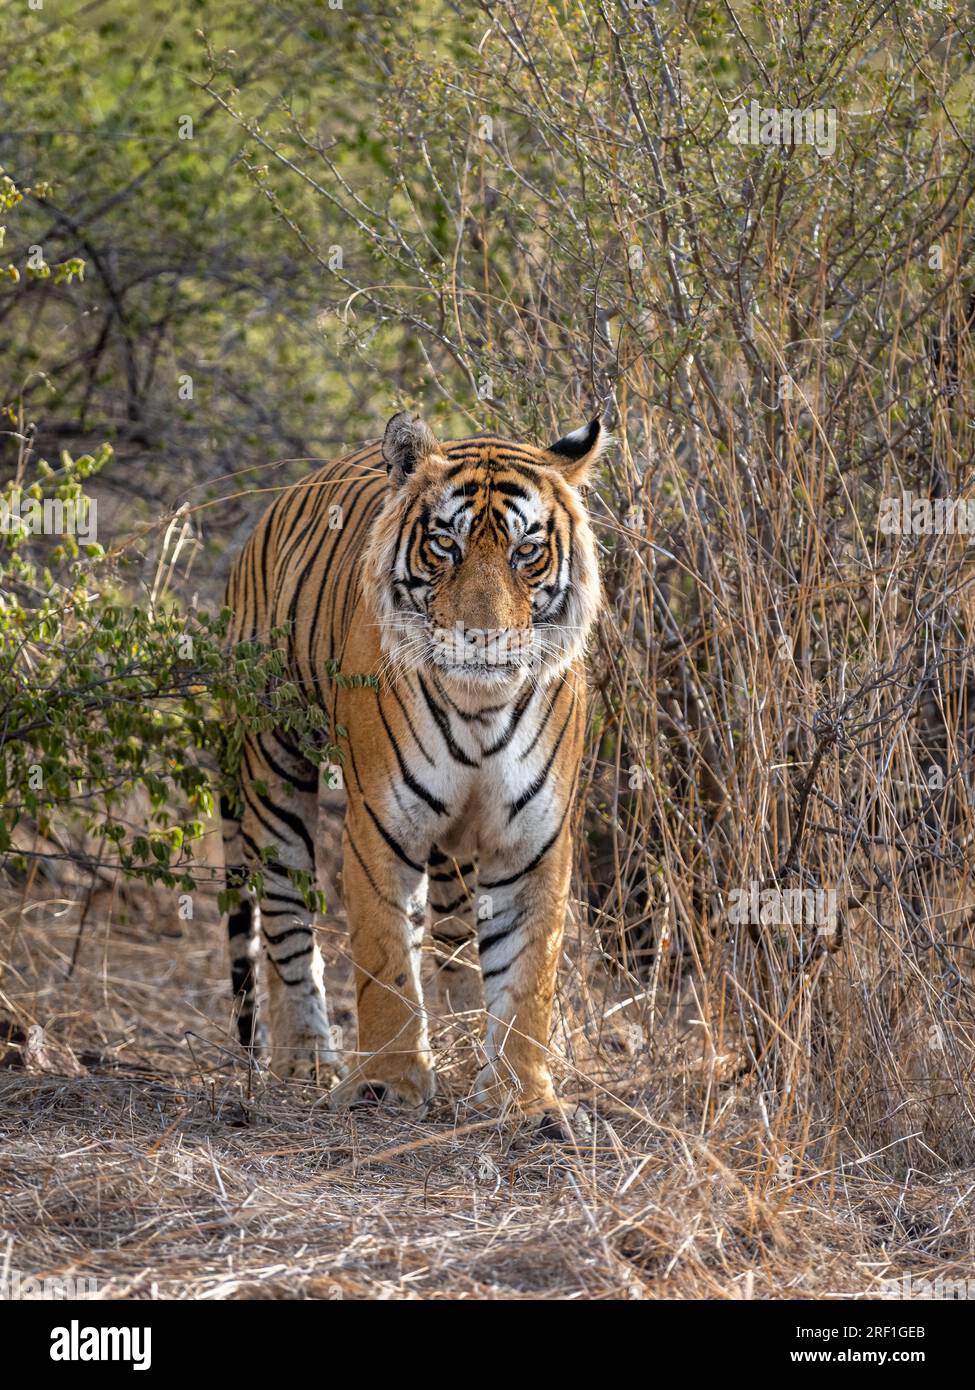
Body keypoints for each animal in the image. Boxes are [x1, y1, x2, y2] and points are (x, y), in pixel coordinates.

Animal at [220, 409, 607, 1126]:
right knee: (286, 922)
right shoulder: (380, 825)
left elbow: (526, 975)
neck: (479, 706)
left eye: (526, 552)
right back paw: (305, 1056)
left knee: (454, 933)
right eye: (445, 545)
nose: (483, 639)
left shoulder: (533, 840)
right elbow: (384, 961)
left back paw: (458, 1031)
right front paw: (389, 1082)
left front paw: (521, 1097)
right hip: (272, 767)